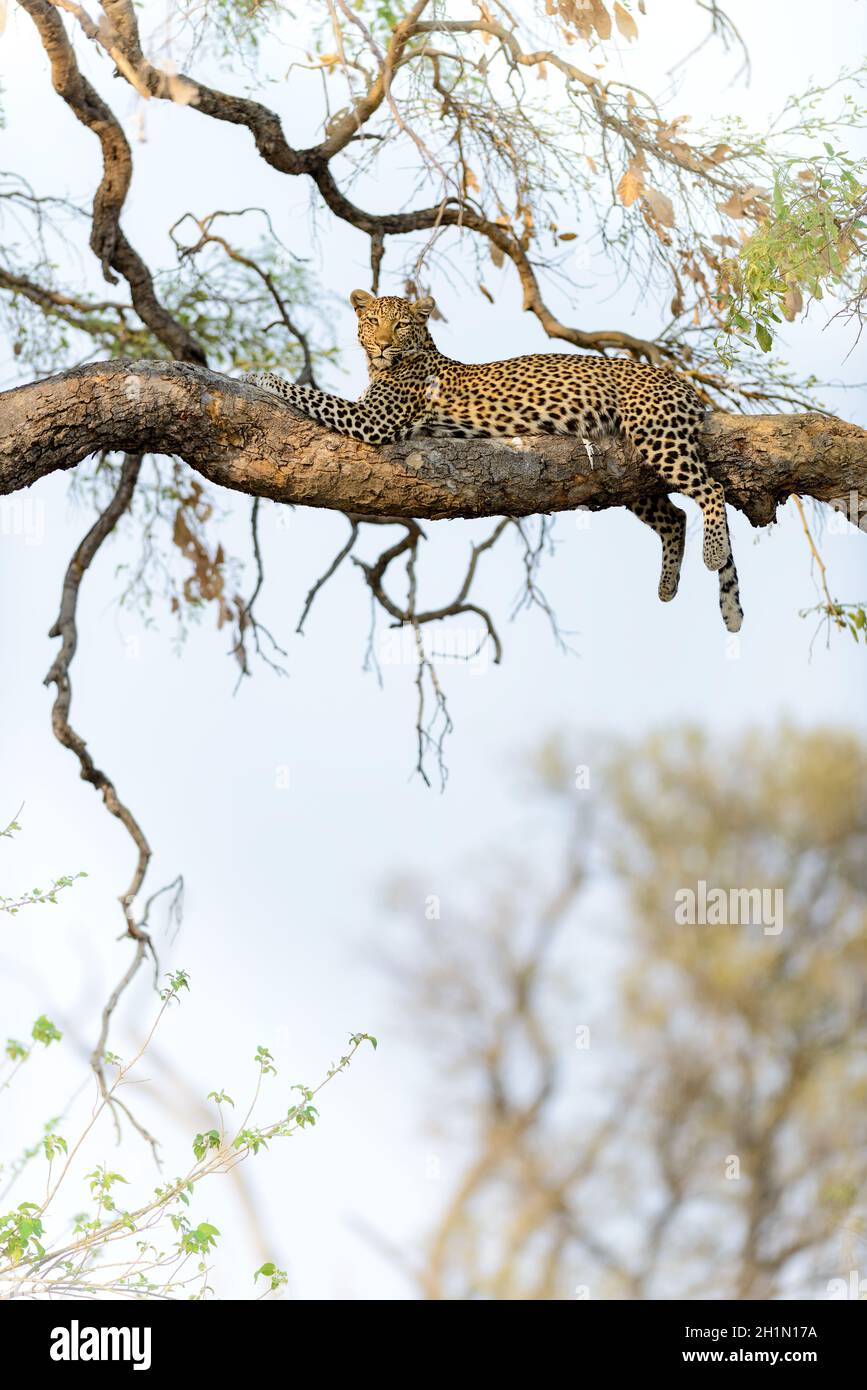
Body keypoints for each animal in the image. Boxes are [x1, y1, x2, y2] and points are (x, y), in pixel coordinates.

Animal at [242, 290, 743, 632]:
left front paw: (258, 376)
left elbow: (309, 392)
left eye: (401, 325)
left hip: (657, 437)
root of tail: (682, 383)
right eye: (374, 322)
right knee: (675, 516)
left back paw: (713, 552)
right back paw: (667, 586)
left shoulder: (373, 420)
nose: (383, 345)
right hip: (627, 471)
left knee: (711, 489)